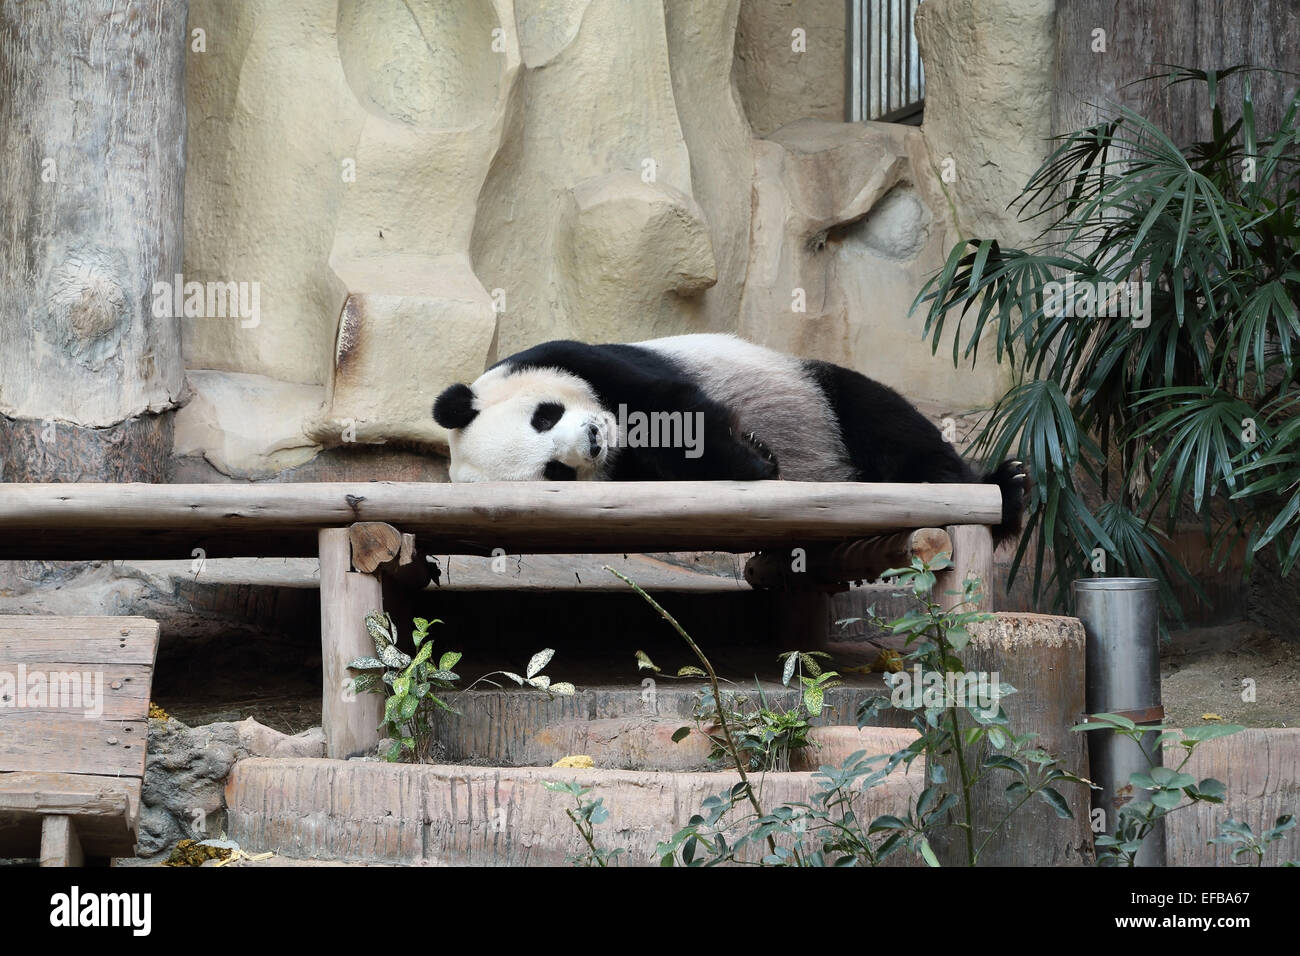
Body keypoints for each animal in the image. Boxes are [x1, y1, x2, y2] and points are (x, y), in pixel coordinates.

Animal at [433, 333, 1027, 544]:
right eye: (554, 471)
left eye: (545, 416)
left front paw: (756, 457)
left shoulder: (579, 359)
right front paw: (758, 461)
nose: (594, 438)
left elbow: (674, 405)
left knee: (886, 423)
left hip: (814, 391)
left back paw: (1004, 487)